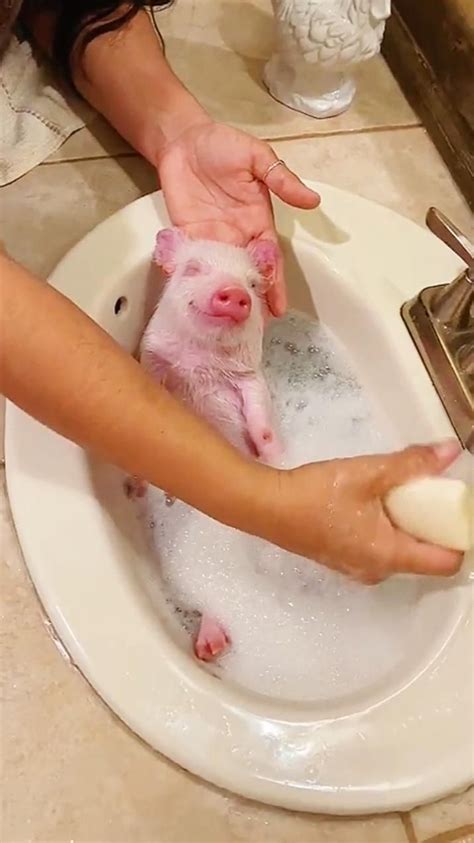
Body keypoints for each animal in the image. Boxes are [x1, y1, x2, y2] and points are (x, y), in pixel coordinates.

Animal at [132, 226, 281, 662]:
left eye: (253, 284)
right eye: (193, 268)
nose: (234, 292)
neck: (202, 364)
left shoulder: (250, 377)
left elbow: (259, 414)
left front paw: (272, 454)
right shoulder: (152, 359)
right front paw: (140, 486)